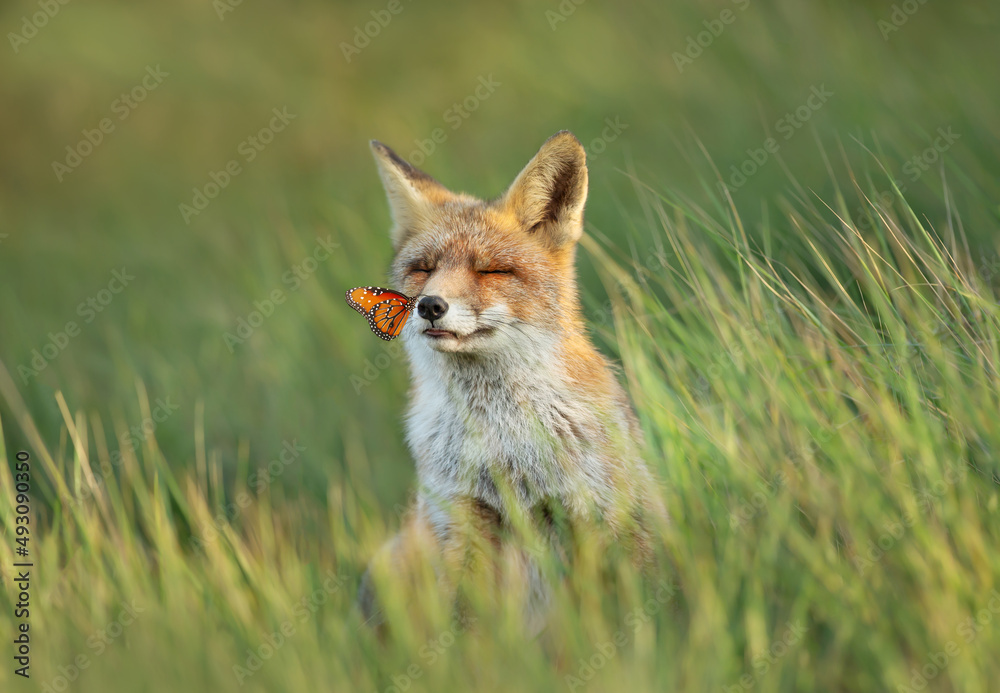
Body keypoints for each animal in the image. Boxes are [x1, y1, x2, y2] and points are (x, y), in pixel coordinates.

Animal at [358, 130, 667, 633]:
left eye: (491, 271)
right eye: (424, 268)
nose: (429, 306)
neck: (502, 438)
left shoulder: (595, 511)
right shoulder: (462, 517)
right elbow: (469, 626)